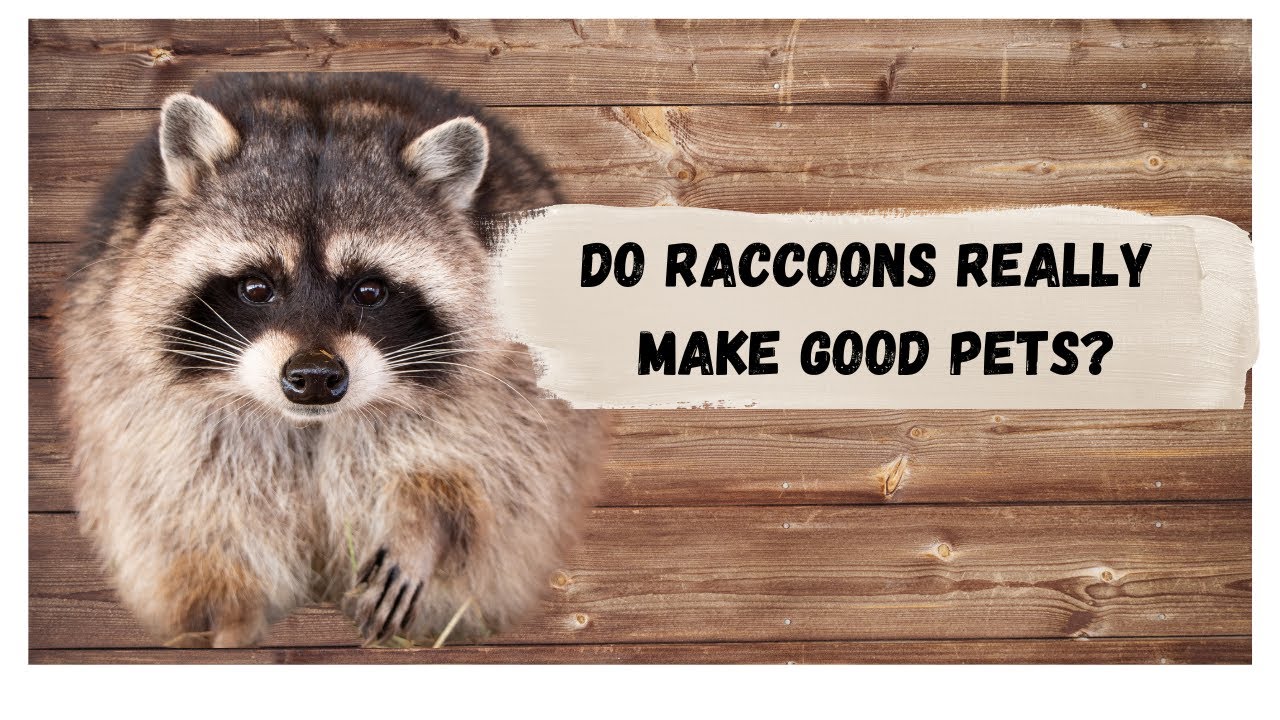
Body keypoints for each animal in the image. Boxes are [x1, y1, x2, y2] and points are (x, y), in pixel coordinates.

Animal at [54, 73, 604, 648]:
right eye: (257, 287)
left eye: (370, 290)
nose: (315, 378)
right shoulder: (143, 407)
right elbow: (189, 513)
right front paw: (226, 618)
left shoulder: (506, 390)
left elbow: (483, 472)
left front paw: (422, 524)